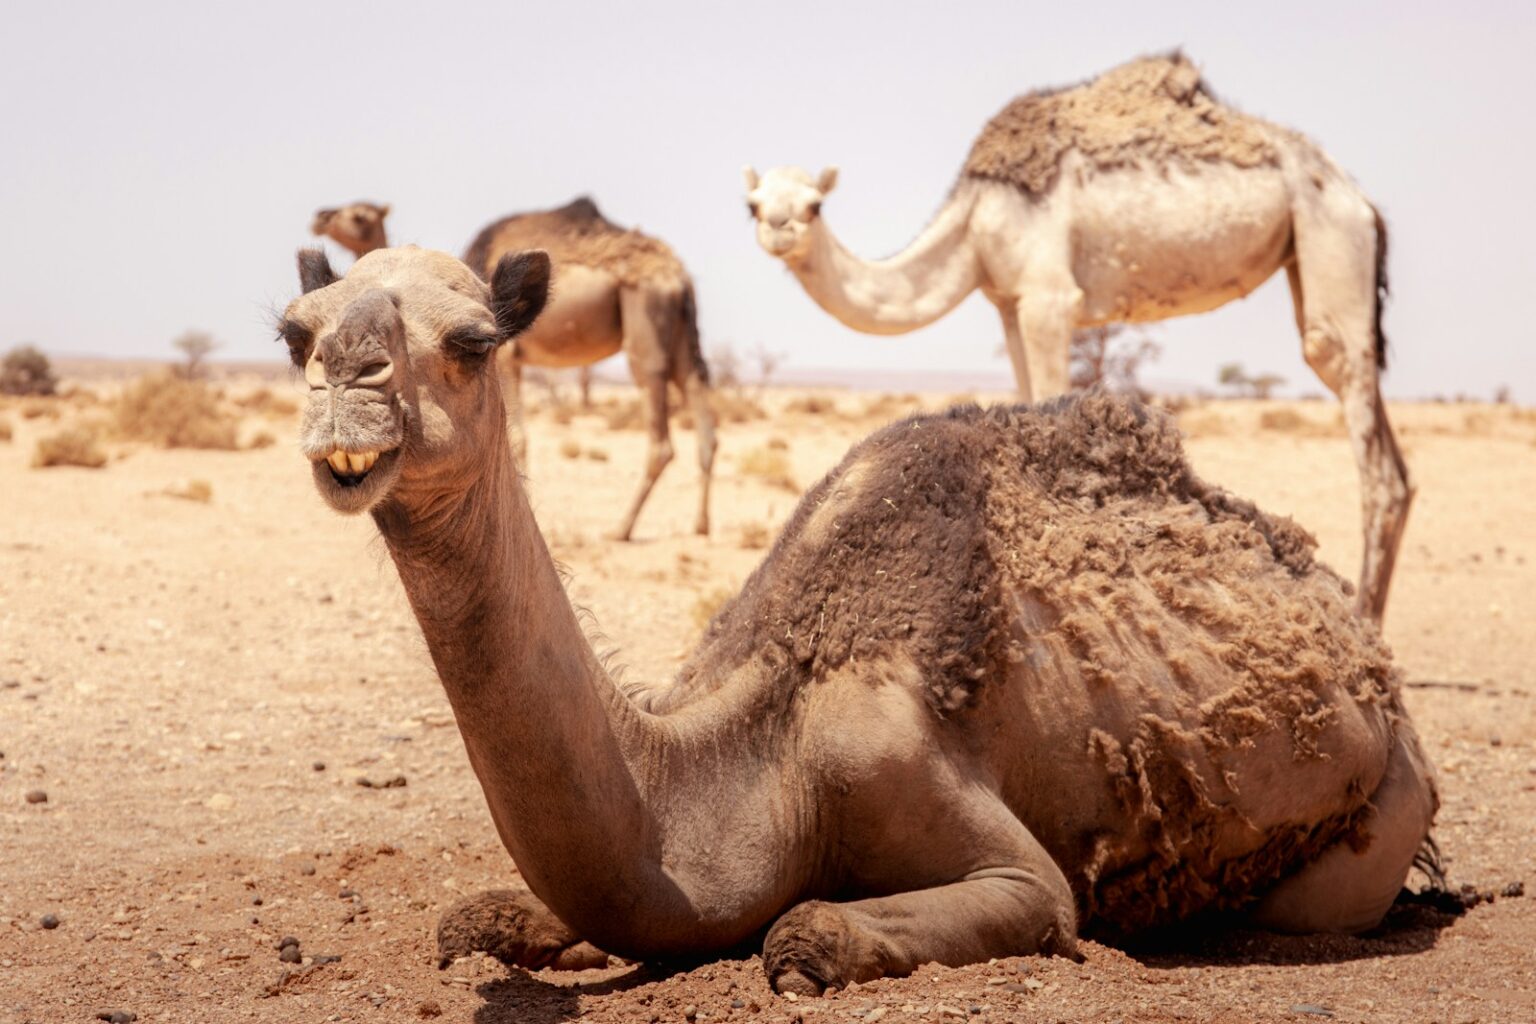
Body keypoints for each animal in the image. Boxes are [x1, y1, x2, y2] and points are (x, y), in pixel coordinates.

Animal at [279, 243, 1439, 995]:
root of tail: (1374, 663)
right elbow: (474, 920)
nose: (345, 382)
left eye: (475, 340)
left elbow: (807, 934)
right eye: (294, 333)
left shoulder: (958, 819)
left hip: (1381, 820)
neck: (754, 758)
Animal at [313, 198, 713, 539]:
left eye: (359, 215)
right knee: (699, 403)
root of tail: (679, 276)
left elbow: (517, 437)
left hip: (645, 323)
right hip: (682, 336)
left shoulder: (503, 354)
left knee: (659, 430)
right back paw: (700, 524)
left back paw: (621, 529)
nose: (321, 217)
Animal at [744, 52, 1411, 623]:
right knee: (1396, 467)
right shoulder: (1007, 304)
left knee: (1365, 439)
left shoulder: (1047, 298)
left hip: (1330, 238)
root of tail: (1362, 199)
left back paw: (1364, 623)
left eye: (815, 204)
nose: (779, 228)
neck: (974, 221)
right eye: (751, 203)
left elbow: (1044, 397)